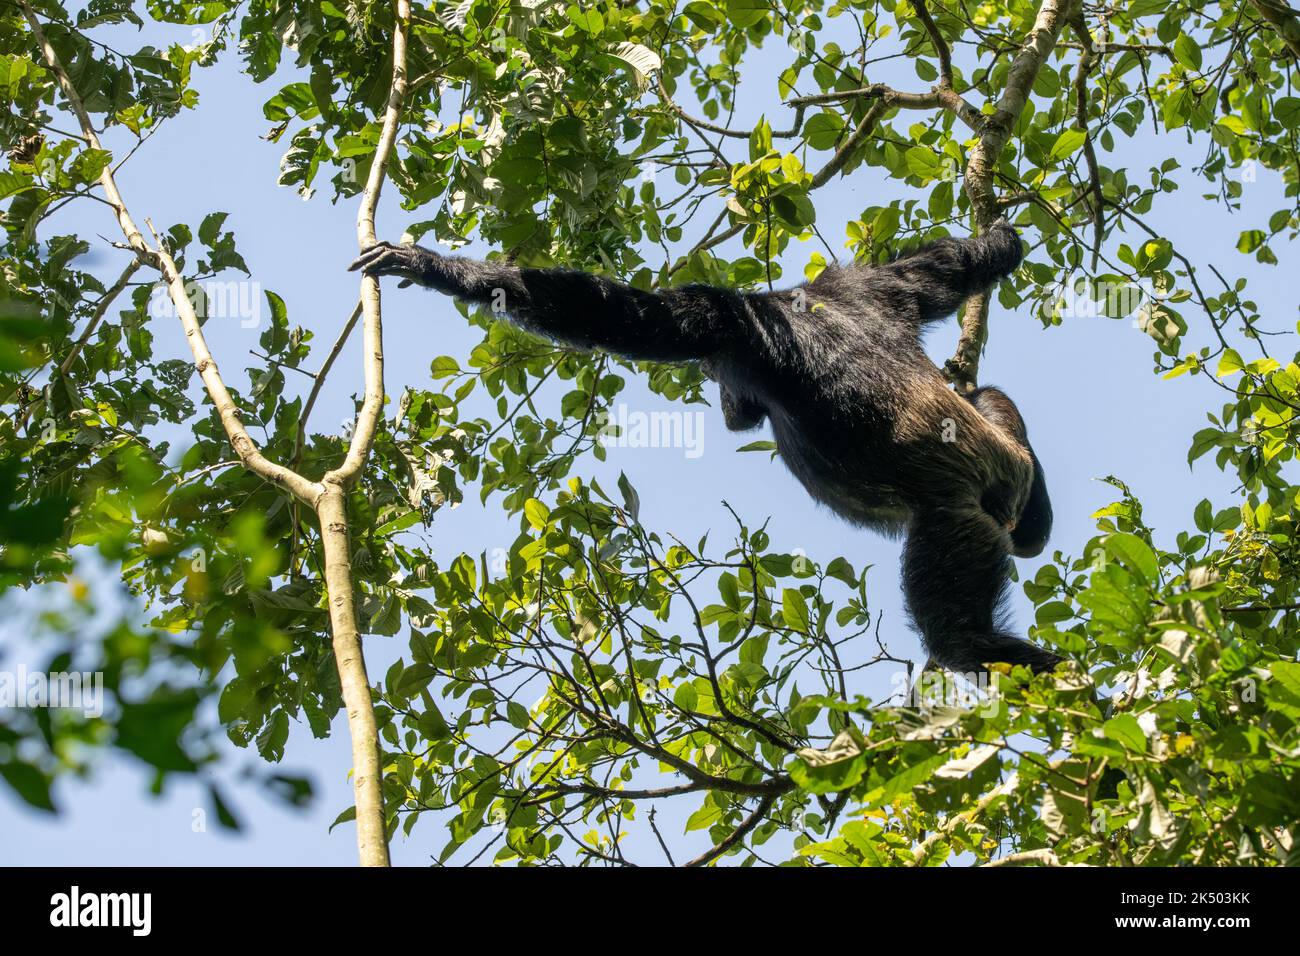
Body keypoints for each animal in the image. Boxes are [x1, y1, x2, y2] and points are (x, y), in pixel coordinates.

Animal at [350, 220, 1058, 676]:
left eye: (721, 376)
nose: (725, 403)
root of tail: (998, 473)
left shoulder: (721, 321)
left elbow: (617, 313)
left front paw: (437, 268)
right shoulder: (863, 284)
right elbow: (944, 269)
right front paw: (1004, 233)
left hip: (952, 523)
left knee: (957, 633)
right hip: (1004, 470)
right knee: (1000, 424)